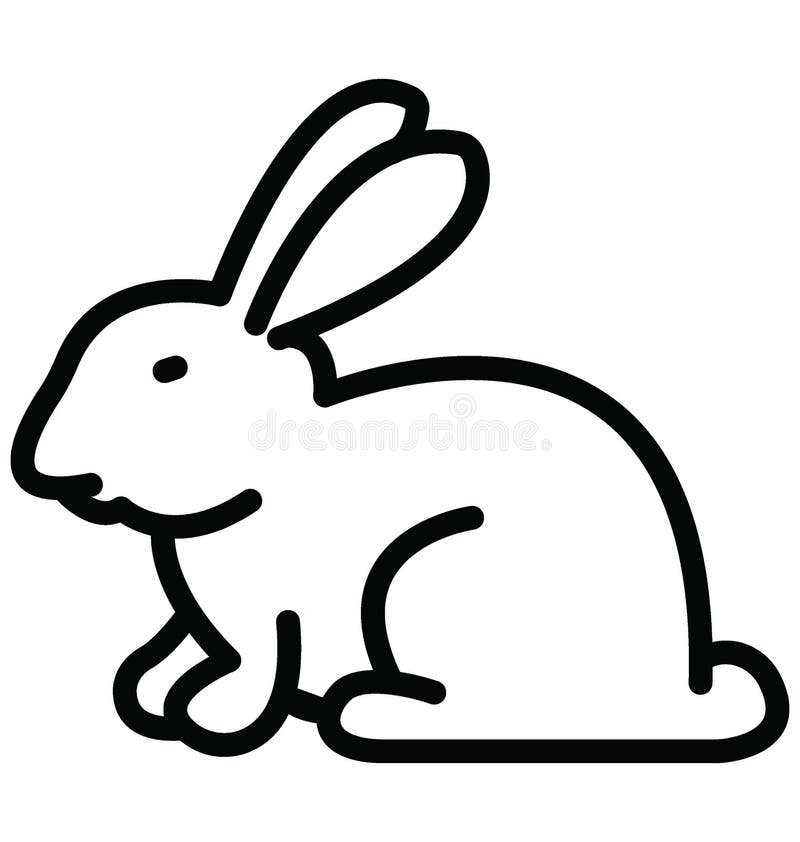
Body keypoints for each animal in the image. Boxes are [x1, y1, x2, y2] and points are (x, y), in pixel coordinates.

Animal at [11, 79, 788, 762]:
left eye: (168, 369)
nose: (46, 467)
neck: (264, 467)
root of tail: (672, 690)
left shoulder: (276, 615)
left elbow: (265, 662)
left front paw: (214, 715)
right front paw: (156, 693)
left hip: (428, 579)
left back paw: (377, 710)